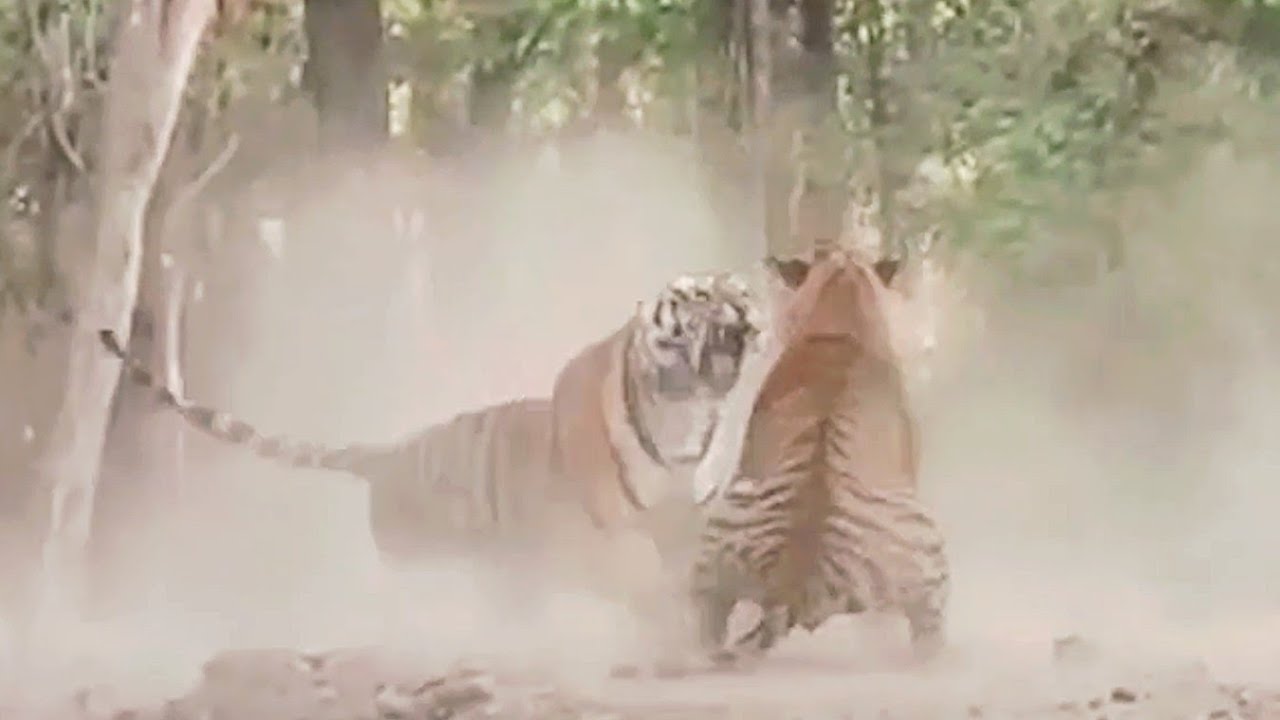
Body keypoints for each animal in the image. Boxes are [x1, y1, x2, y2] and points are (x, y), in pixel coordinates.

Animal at [97, 271, 767, 670]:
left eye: (738, 289)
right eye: (701, 295)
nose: (747, 305)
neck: (682, 412)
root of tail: (387, 453)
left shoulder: (686, 517)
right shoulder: (591, 534)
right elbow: (640, 571)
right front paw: (675, 626)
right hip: (423, 564)